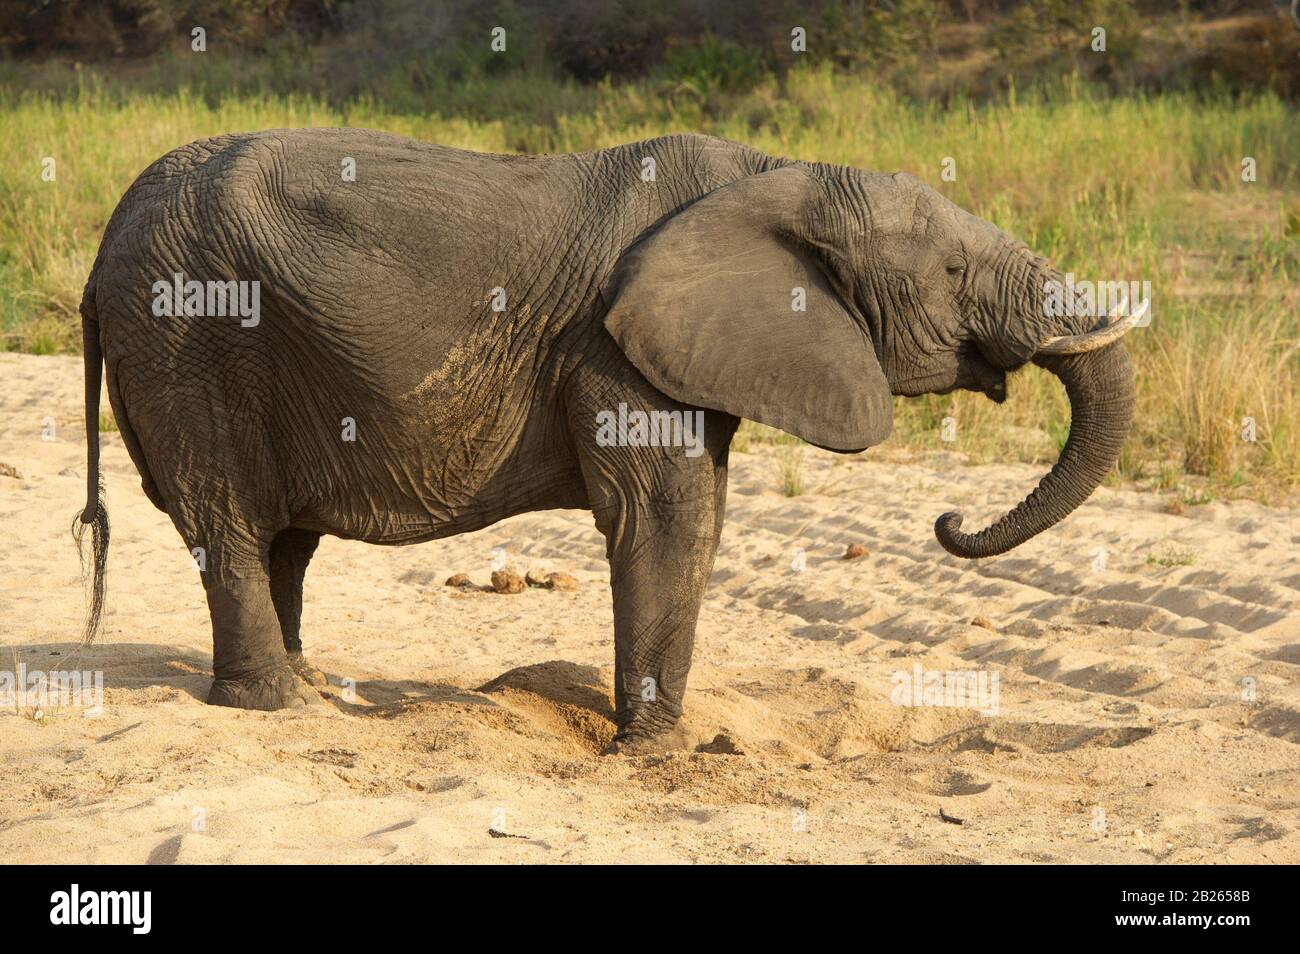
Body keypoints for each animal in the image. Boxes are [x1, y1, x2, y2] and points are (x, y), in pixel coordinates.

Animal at [75, 130, 1137, 753]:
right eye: (953, 271)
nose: (950, 520)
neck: (775, 176)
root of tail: (101, 250)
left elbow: (696, 514)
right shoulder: (608, 344)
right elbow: (667, 518)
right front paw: (657, 752)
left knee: (282, 536)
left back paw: (305, 686)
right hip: (186, 339)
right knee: (231, 522)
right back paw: (274, 708)